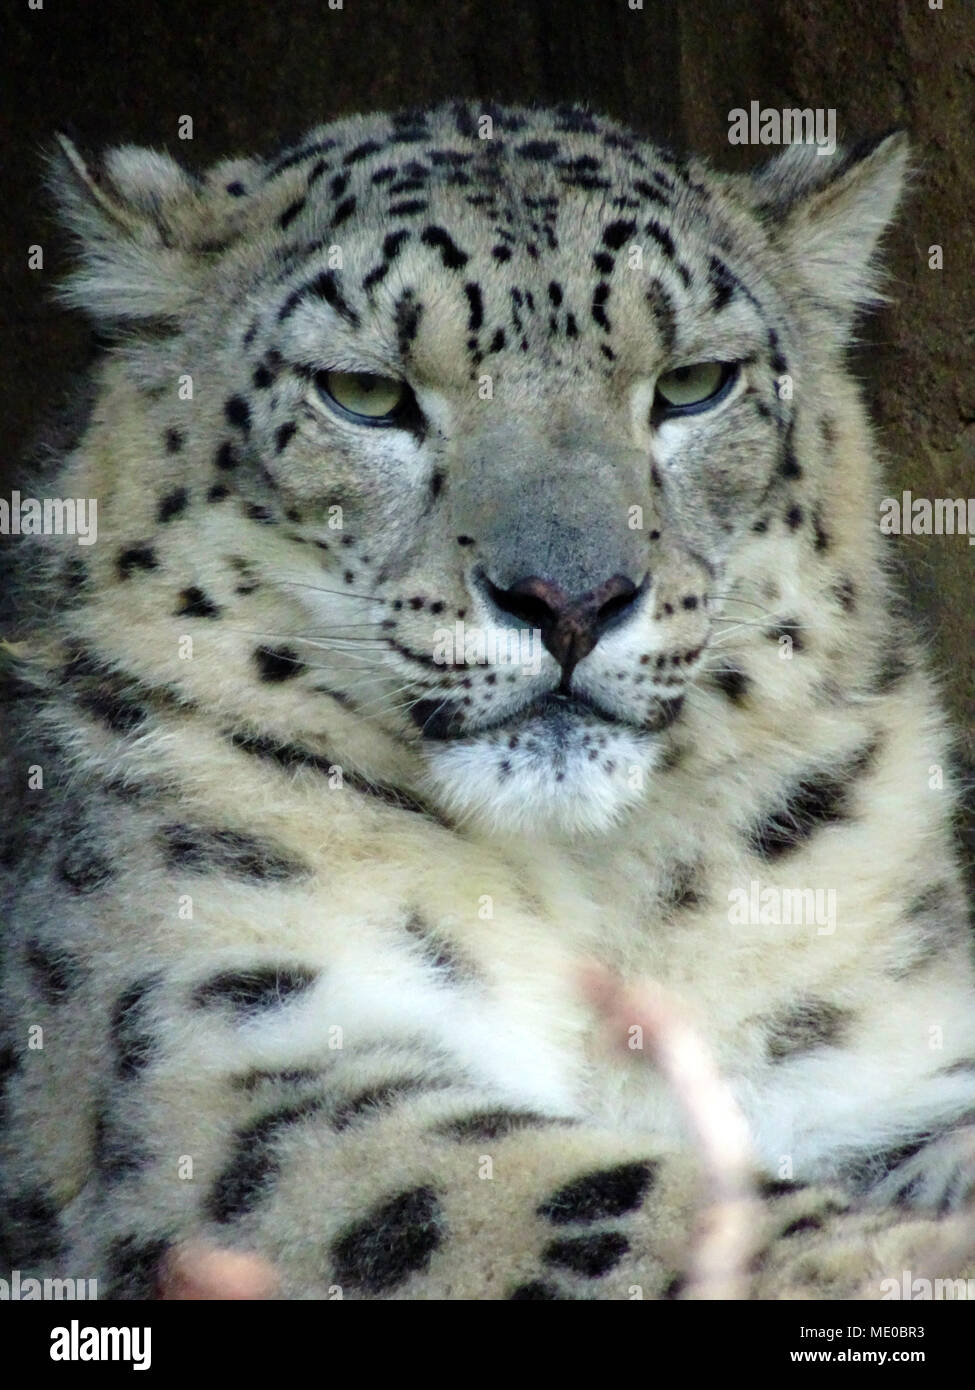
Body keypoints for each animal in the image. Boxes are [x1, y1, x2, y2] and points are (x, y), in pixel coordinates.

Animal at [2, 100, 974, 1301]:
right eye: (364, 394)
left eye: (694, 384)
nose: (570, 598)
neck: (595, 889)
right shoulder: (227, 1056)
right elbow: (590, 1196)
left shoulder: (880, 1060)